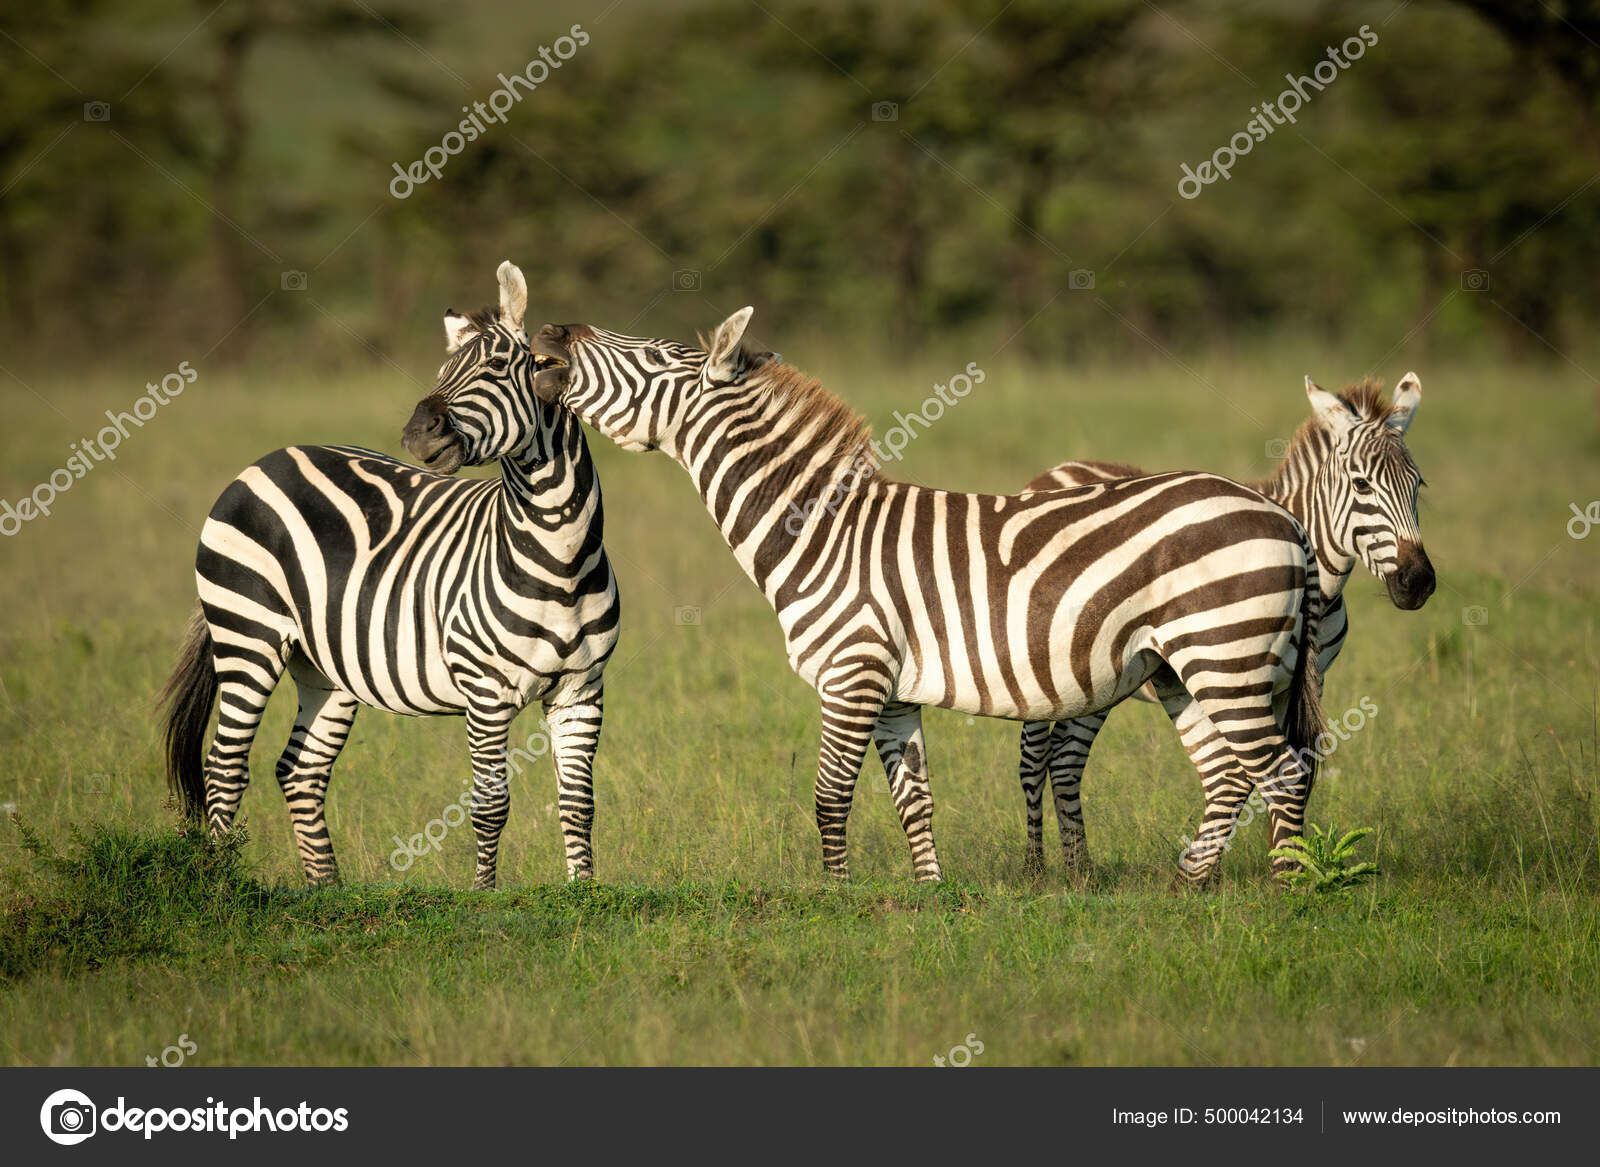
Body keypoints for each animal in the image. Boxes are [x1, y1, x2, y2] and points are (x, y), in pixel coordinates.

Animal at [159, 262, 619, 889]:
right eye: (442, 372)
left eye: (498, 367)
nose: (417, 434)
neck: (560, 556)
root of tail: (265, 460)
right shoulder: (485, 691)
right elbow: (490, 804)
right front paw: (486, 895)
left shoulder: (582, 689)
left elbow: (578, 802)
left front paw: (582, 892)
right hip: (248, 635)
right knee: (225, 766)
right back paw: (223, 883)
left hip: (324, 667)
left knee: (299, 771)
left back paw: (326, 891)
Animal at [525, 307, 1327, 885]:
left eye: (657, 356)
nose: (550, 333)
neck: (820, 531)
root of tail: (1282, 515)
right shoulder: (891, 689)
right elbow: (915, 798)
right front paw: (929, 894)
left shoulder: (850, 671)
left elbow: (829, 795)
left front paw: (837, 898)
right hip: (1184, 667)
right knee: (1229, 773)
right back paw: (1191, 884)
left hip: (1224, 652)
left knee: (1280, 771)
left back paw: (1287, 891)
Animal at [1015, 374, 1433, 872]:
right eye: (1362, 484)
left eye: (1419, 485)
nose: (1418, 582)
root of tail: (1056, 468)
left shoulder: (1299, 683)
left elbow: (1279, 769)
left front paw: (1278, 858)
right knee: (1039, 758)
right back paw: (1039, 869)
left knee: (1063, 759)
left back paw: (1078, 871)